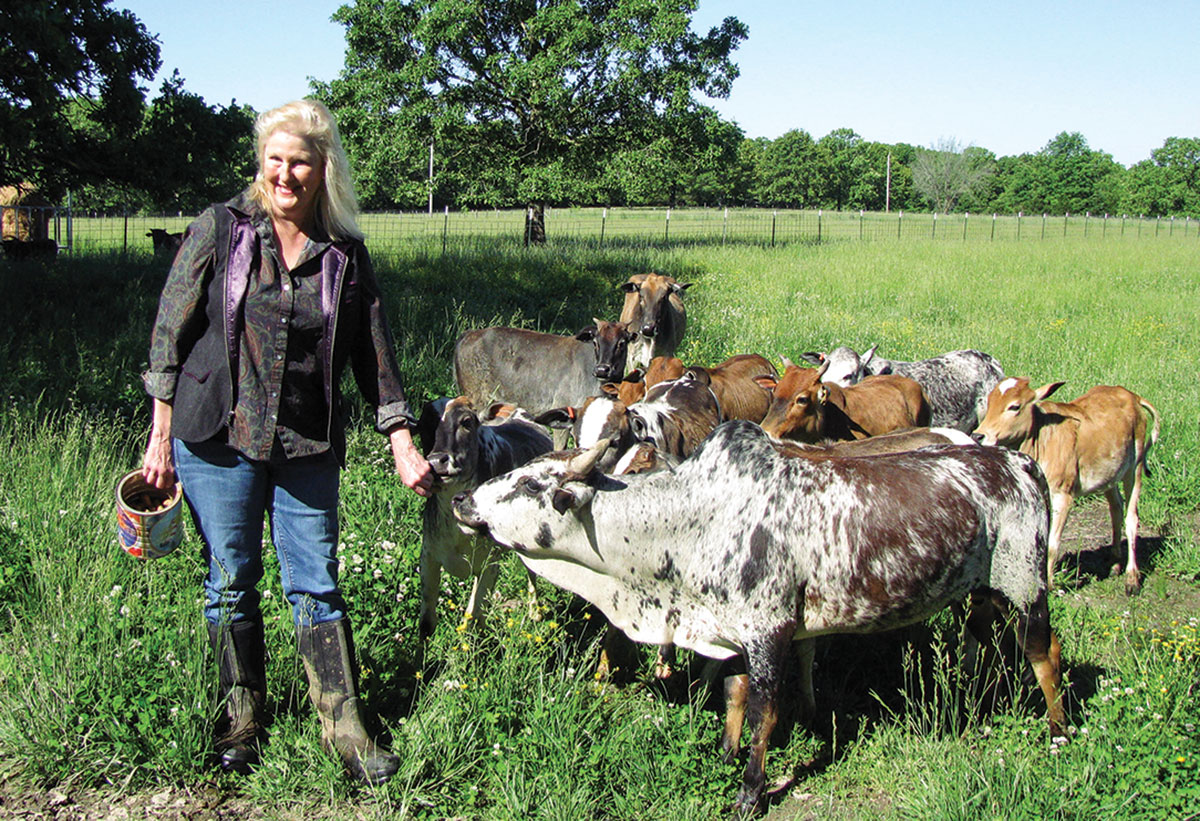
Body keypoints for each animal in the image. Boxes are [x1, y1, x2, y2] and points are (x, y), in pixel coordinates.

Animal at [415, 393, 554, 638]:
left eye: (466, 422)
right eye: (423, 424)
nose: (436, 461)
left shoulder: (489, 564)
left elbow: (470, 618)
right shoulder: (429, 556)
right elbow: (427, 623)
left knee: (532, 574)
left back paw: (534, 611)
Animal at [453, 420, 1065, 816]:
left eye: (529, 484)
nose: (463, 502)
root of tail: (1018, 462)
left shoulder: (771, 630)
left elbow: (765, 710)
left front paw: (749, 791)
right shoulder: (732, 631)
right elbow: (735, 693)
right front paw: (726, 755)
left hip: (1025, 583)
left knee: (1043, 652)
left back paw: (1059, 733)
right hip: (980, 592)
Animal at [974, 374, 1161, 592]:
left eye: (1014, 406)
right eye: (989, 402)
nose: (978, 435)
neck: (1041, 438)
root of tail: (1133, 396)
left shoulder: (1062, 495)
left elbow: (1052, 543)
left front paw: (1049, 584)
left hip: (1134, 468)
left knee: (1132, 517)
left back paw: (1132, 578)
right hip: (1110, 474)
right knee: (1116, 508)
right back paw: (1115, 564)